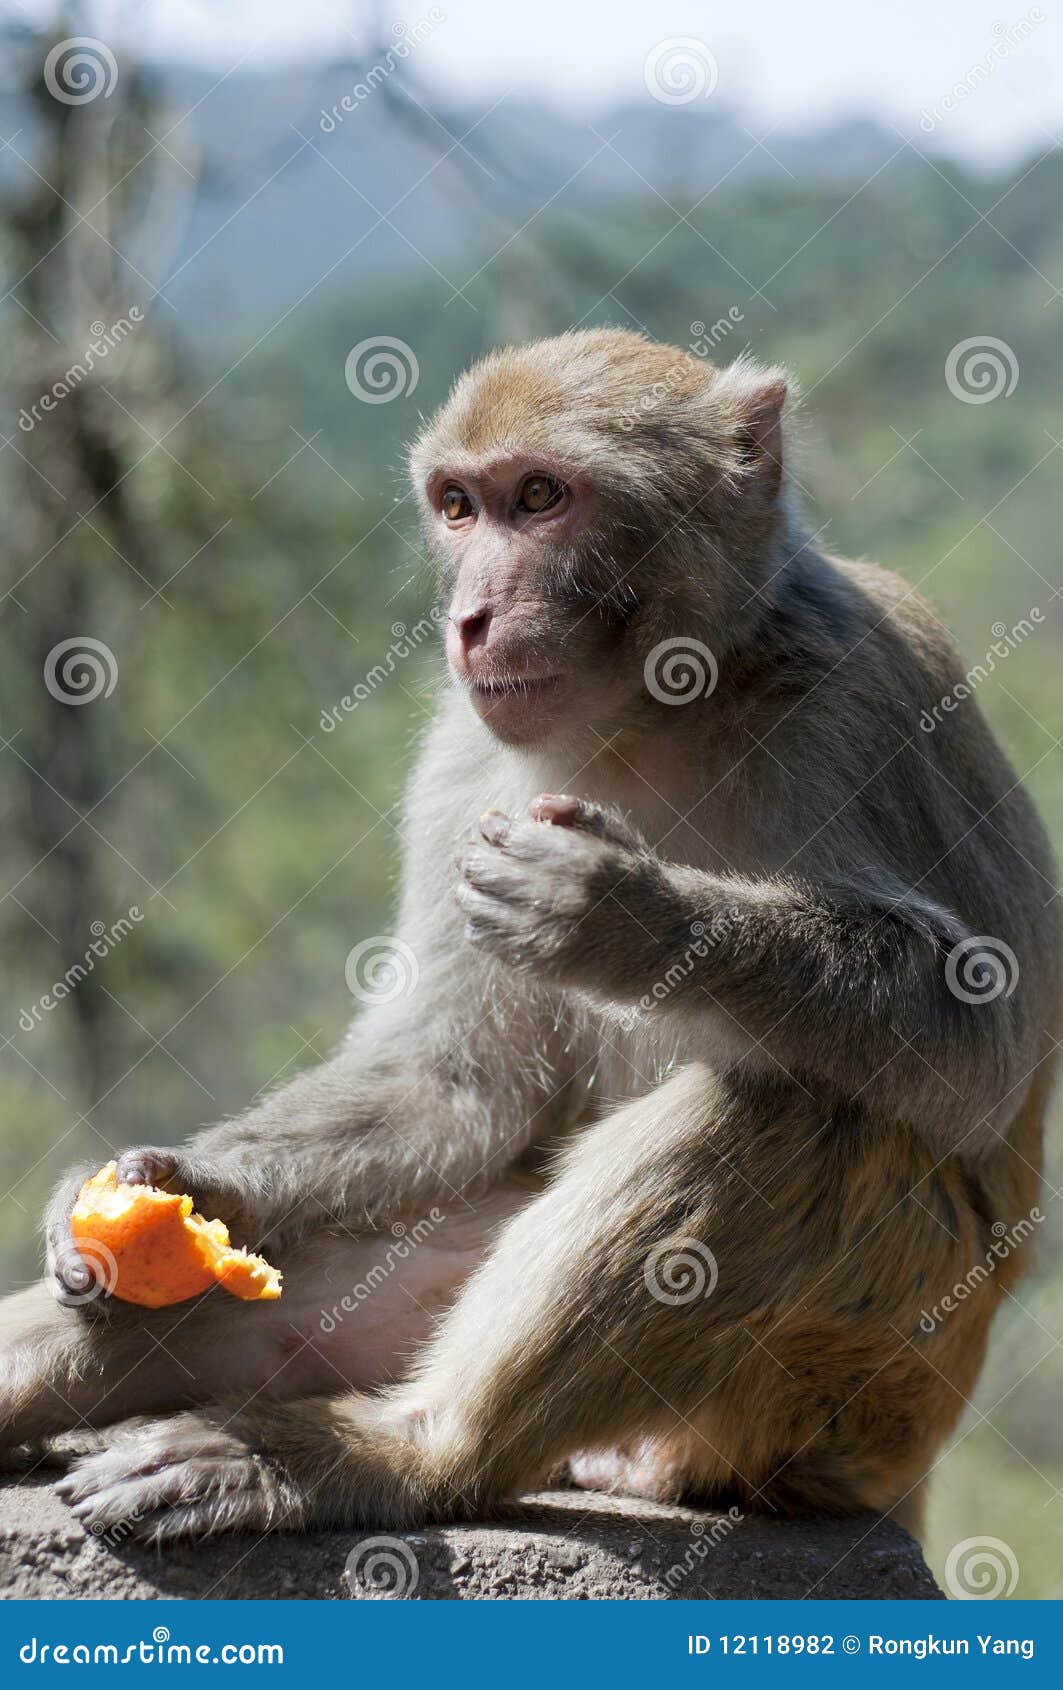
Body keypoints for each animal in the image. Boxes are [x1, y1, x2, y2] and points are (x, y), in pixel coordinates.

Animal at [1, 327, 1058, 1546]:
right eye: (459, 507)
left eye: (541, 497)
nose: (467, 619)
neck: (655, 709)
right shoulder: (461, 757)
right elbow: (460, 1079)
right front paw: (176, 1181)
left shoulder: (863, 694)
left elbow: (979, 1040)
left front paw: (623, 913)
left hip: (855, 1390)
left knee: (796, 1106)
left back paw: (392, 1452)